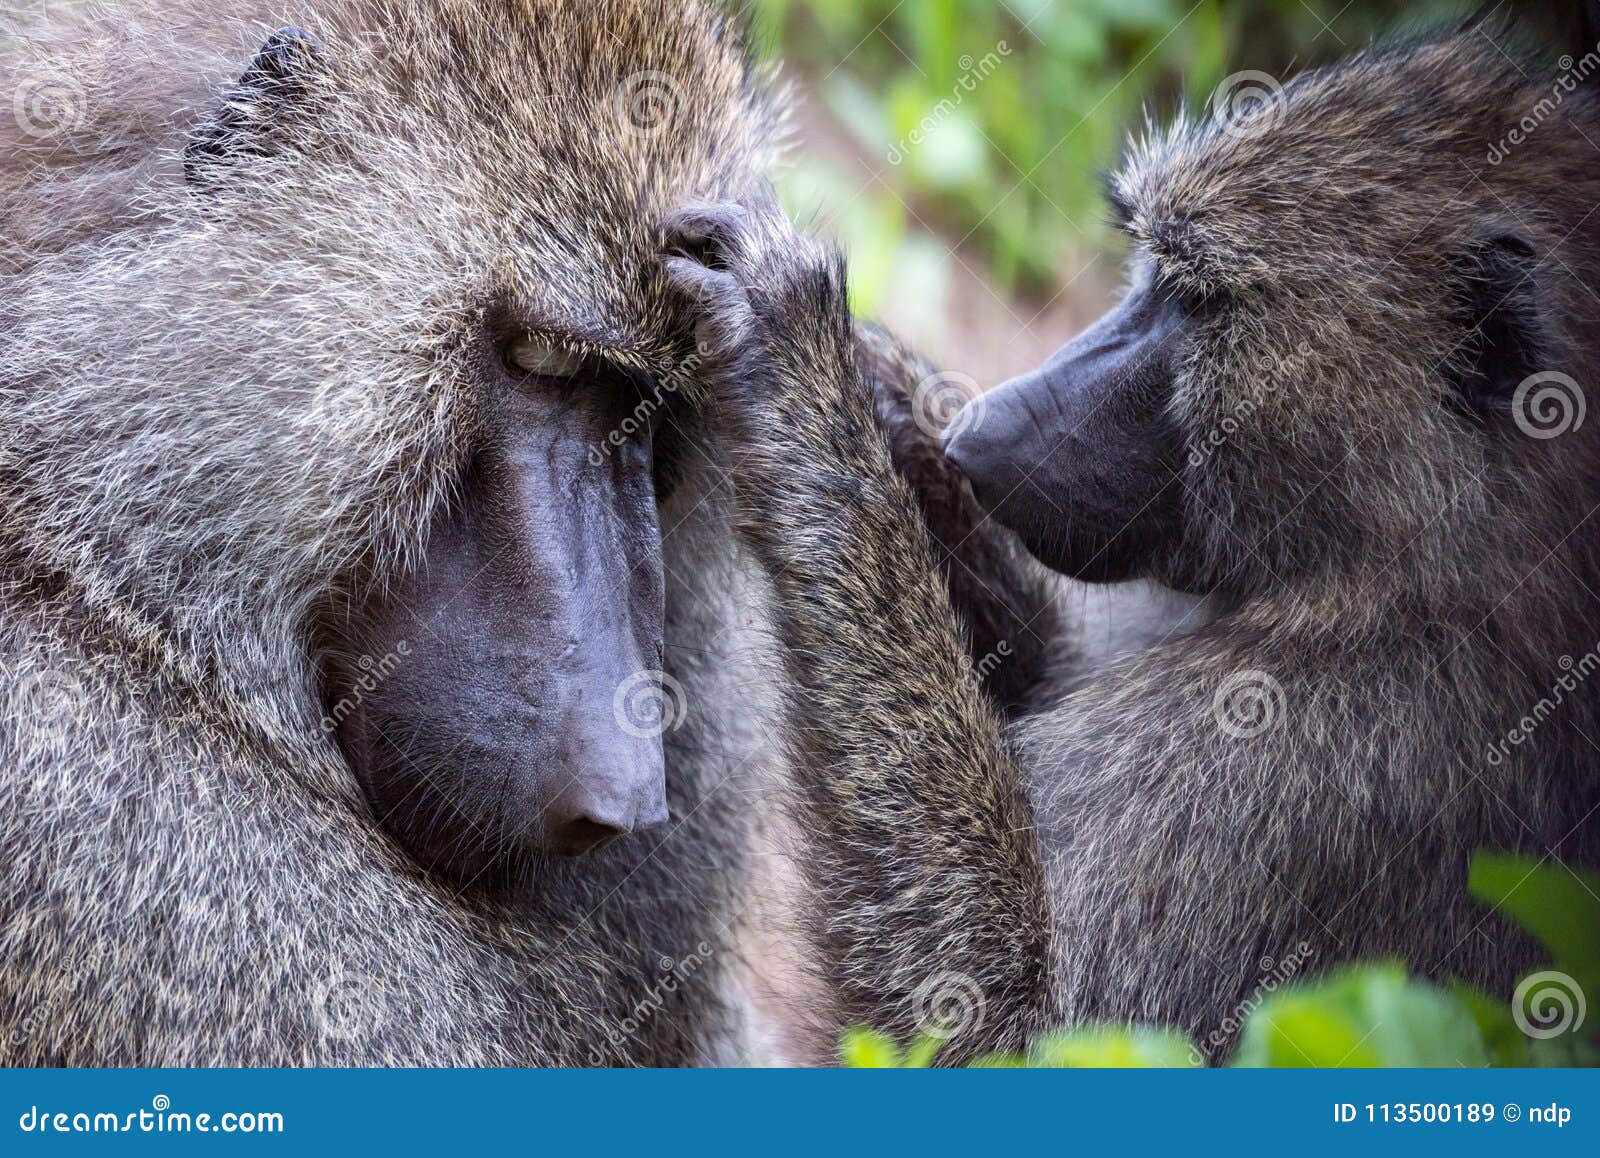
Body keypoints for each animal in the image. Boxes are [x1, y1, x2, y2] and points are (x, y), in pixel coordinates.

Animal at [663, 6, 1600, 1063]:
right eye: (1150, 272)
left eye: (1198, 298)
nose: (982, 432)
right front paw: (877, 392)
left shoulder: (1321, 752)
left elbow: (999, 1027)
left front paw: (797, 366)